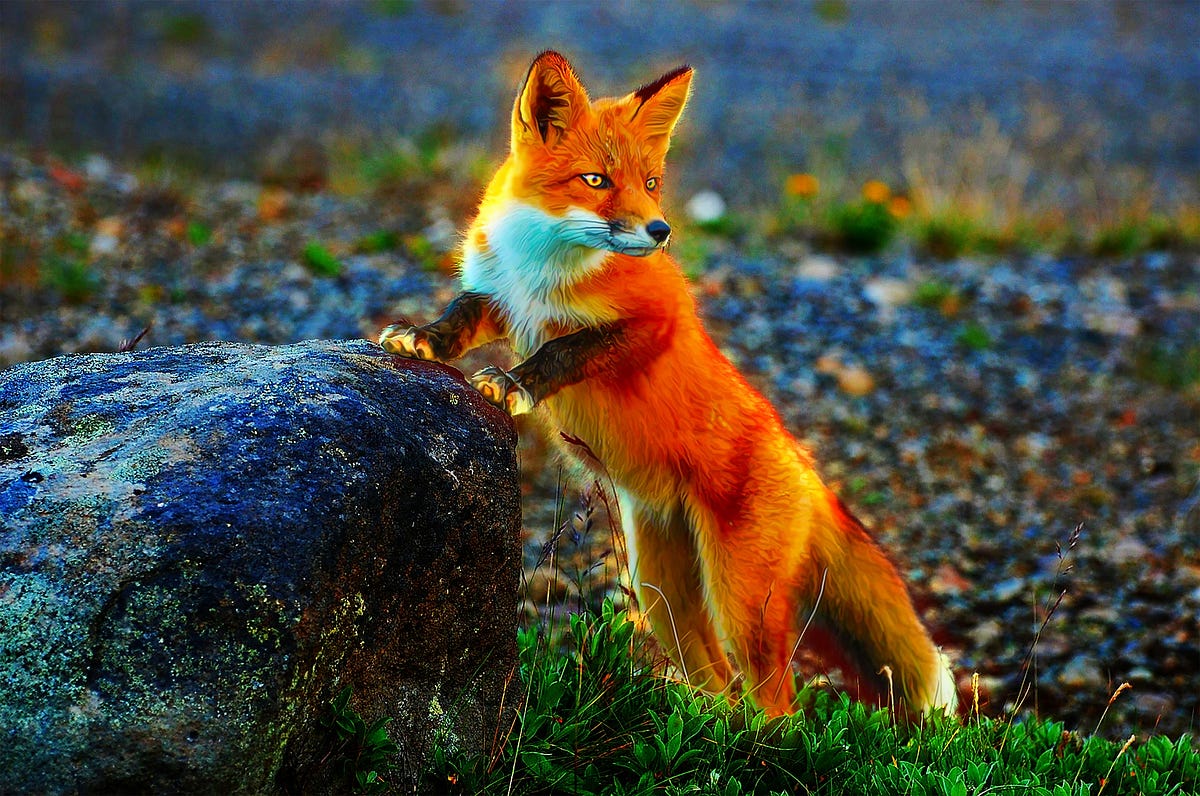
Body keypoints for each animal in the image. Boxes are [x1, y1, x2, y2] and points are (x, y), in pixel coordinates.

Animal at [379, 51, 957, 718]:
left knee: (776, 704)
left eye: (651, 182)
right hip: (661, 592)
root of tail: (808, 470)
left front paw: (515, 383)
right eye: (597, 180)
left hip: (741, 602)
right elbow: (461, 314)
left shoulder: (657, 319)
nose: (661, 232)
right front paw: (422, 339)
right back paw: (701, 722)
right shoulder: (500, 296)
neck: (541, 263)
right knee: (719, 684)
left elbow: (563, 348)